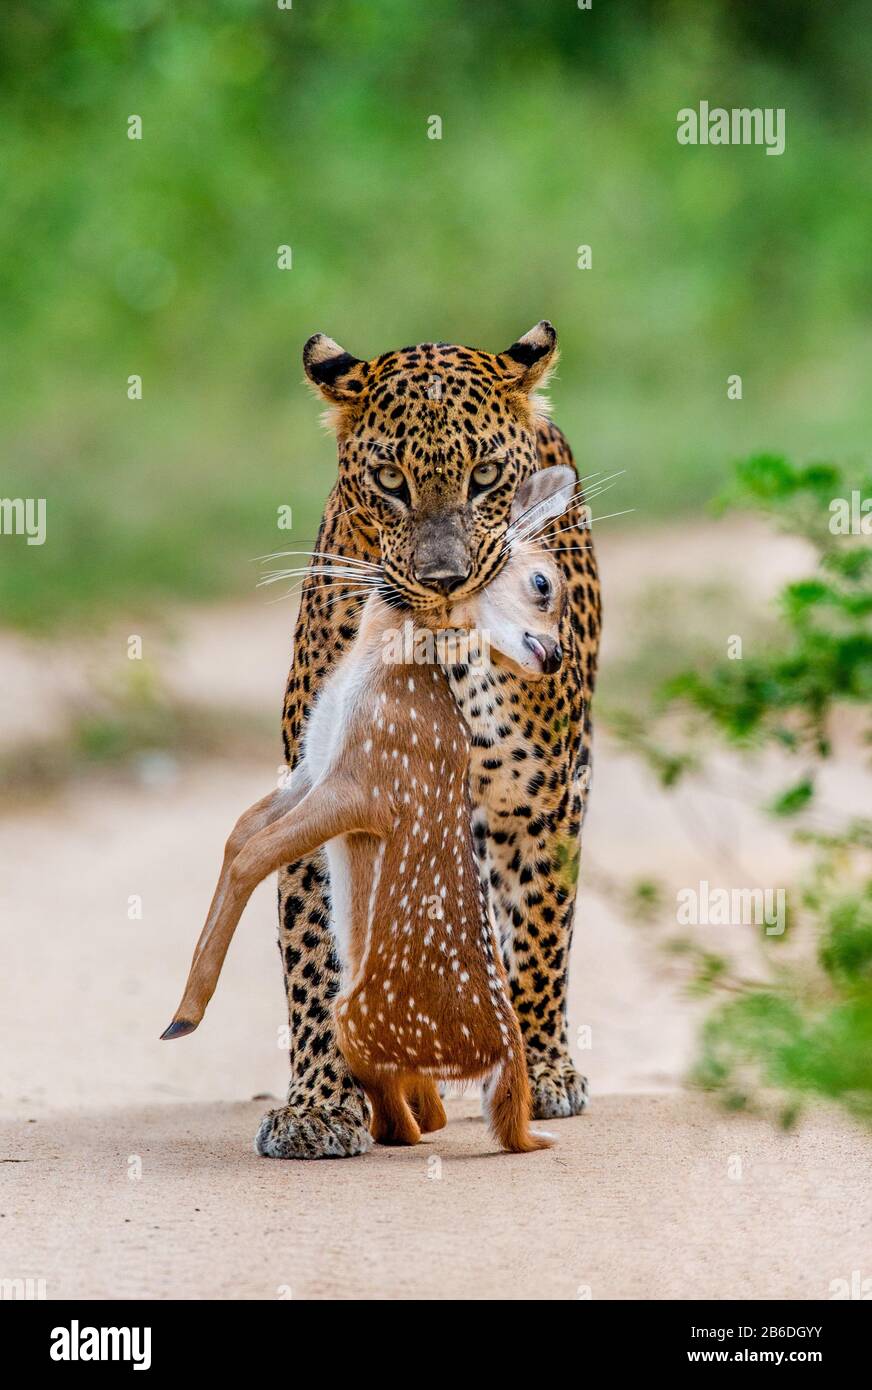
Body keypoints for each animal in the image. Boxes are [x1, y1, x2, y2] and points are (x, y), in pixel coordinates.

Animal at [255, 320, 601, 1159]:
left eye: (485, 476)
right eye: (388, 479)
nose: (443, 580)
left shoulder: (541, 792)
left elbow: (541, 930)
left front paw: (542, 1073)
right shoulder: (319, 792)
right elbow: (314, 956)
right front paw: (317, 1108)